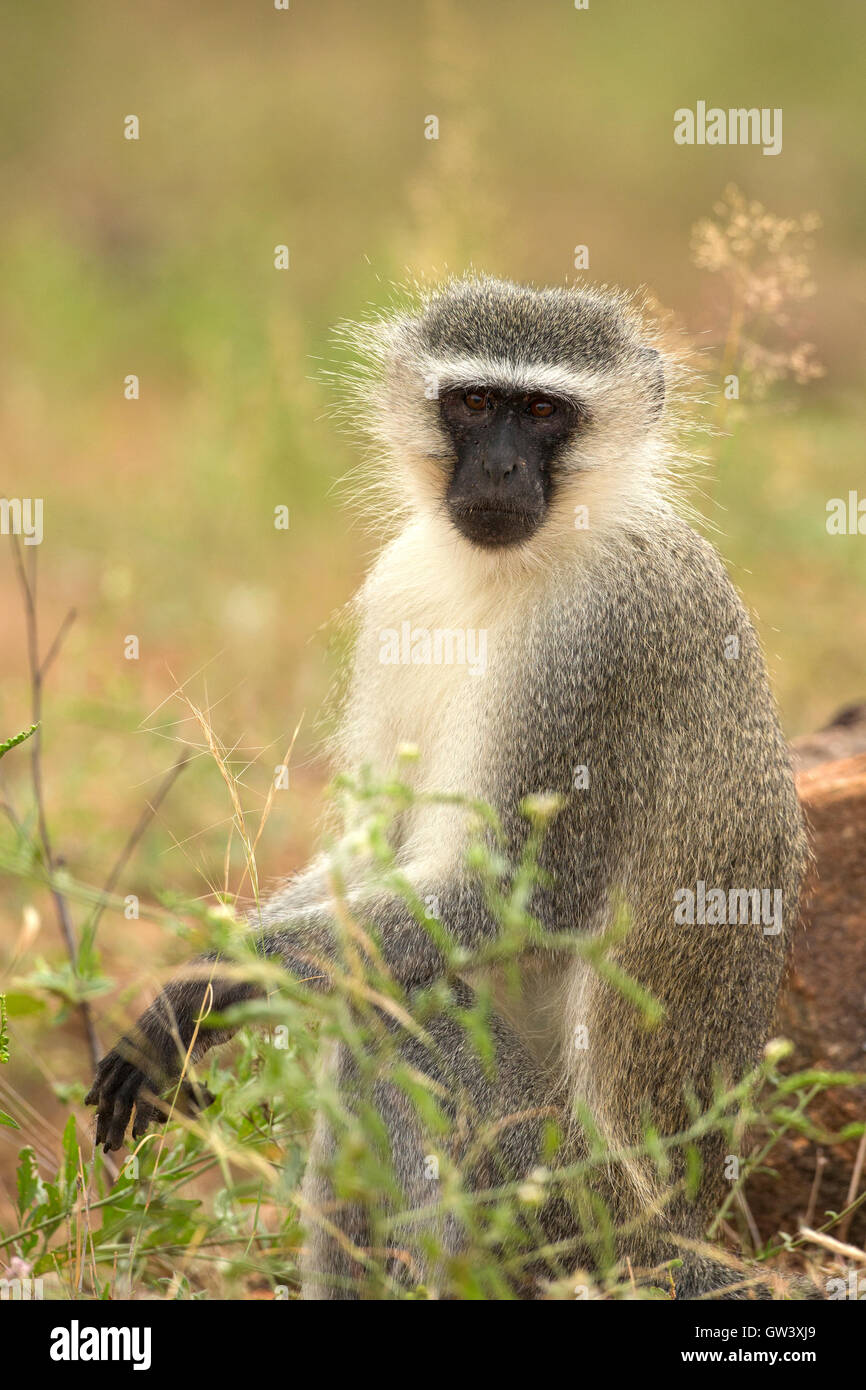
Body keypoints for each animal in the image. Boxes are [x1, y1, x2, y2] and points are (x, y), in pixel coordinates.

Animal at [86, 274, 808, 1300]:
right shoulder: (403, 587)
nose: (500, 470)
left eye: (542, 413)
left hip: (570, 1207)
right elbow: (372, 857)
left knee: (405, 1008)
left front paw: (204, 992)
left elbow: (505, 900)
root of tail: (680, 1238)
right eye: (472, 402)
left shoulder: (595, 644)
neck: (507, 568)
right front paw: (203, 979)